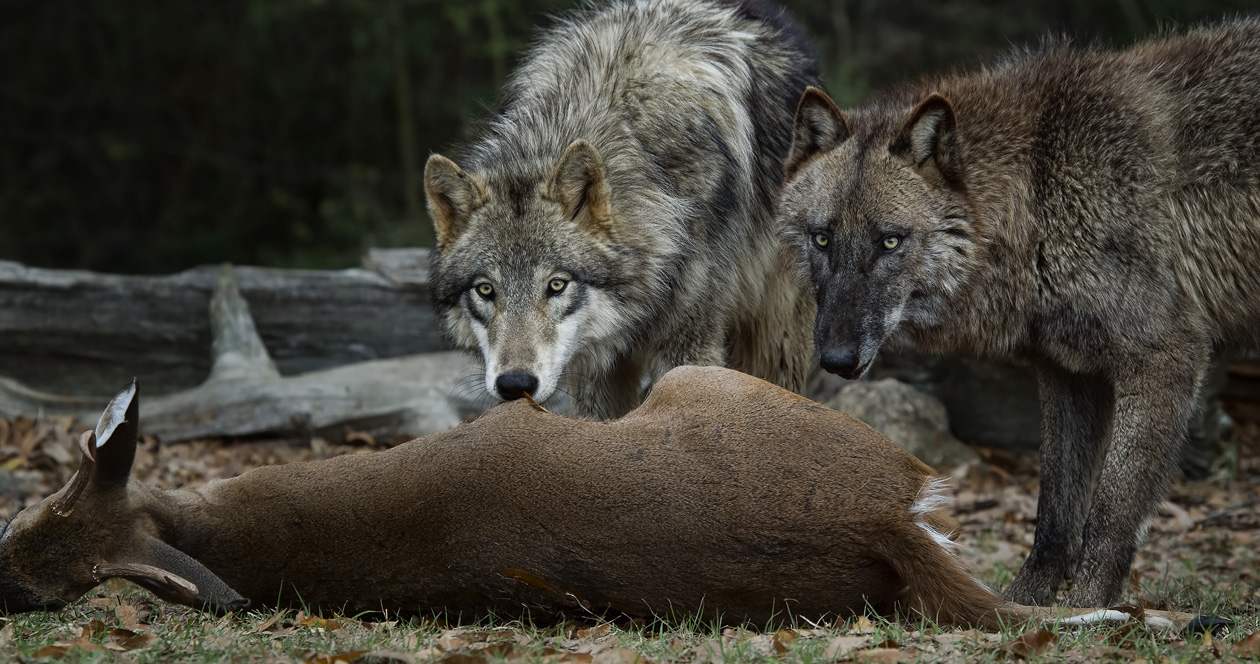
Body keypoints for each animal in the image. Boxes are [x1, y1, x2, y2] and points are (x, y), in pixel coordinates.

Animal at [424, 0, 818, 419]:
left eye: (557, 285)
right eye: (485, 289)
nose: (515, 384)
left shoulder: (689, 347)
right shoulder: (594, 371)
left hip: (775, 331)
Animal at [777, 19, 1260, 607]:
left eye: (890, 241)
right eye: (821, 238)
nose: (837, 359)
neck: (1040, 193)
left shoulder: (1166, 358)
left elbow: (1111, 513)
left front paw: (1085, 612)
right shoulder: (1068, 373)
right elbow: (1054, 515)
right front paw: (1022, 607)